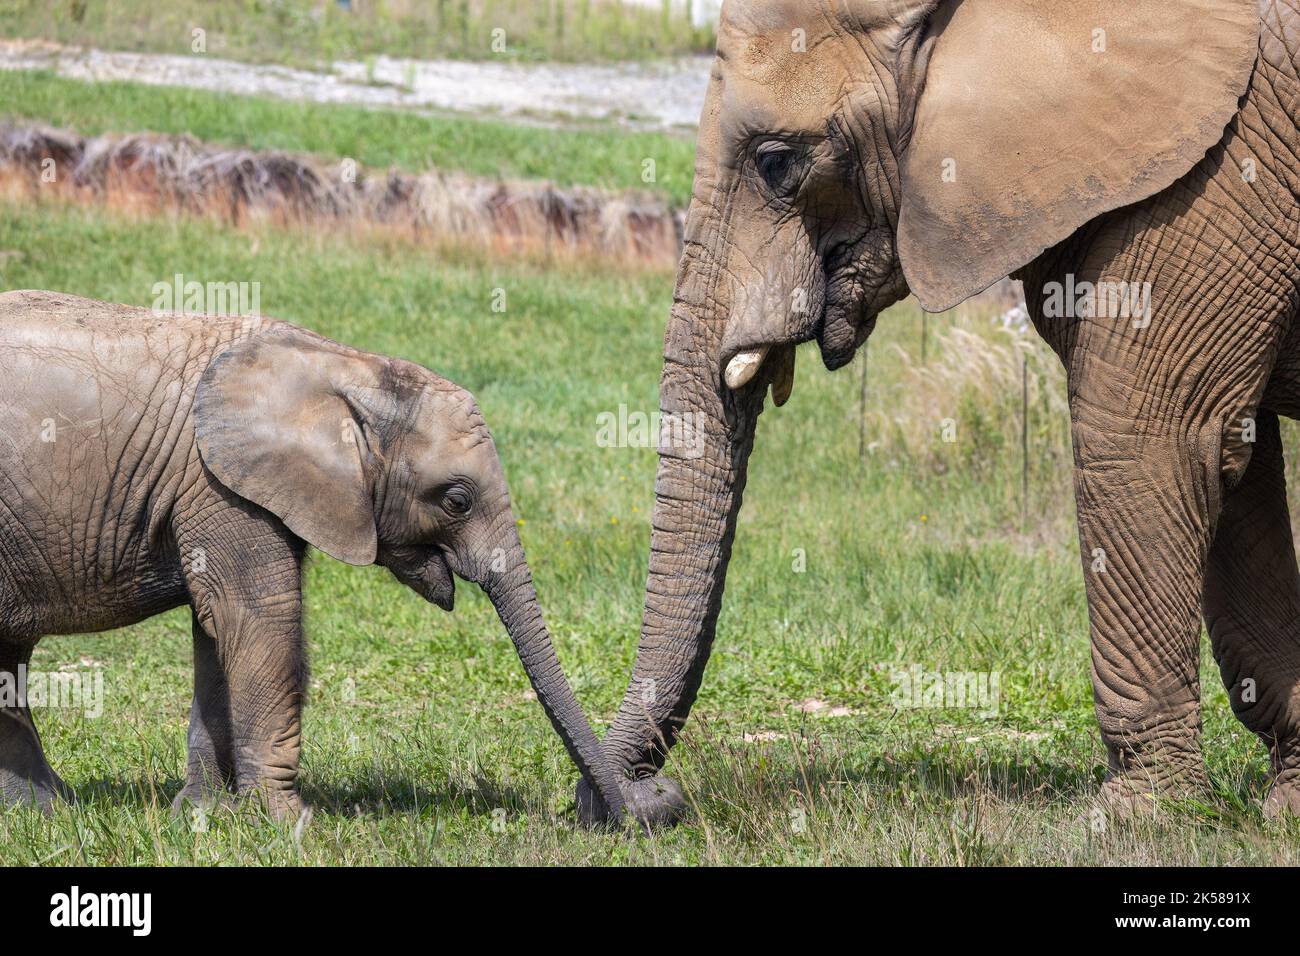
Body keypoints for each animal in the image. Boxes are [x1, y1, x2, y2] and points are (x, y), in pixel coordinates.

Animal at [0, 290, 627, 823]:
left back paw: (43, 813)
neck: (344, 367)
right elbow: (258, 619)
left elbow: (217, 632)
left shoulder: (234, 489)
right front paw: (289, 825)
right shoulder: (218, 485)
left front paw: (202, 818)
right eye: (456, 500)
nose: (618, 817)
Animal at [579, 0, 1300, 826]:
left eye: (776, 162)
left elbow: (1157, 441)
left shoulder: (1221, 176)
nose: (645, 798)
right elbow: (1234, 463)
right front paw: (1284, 813)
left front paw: (1132, 823)